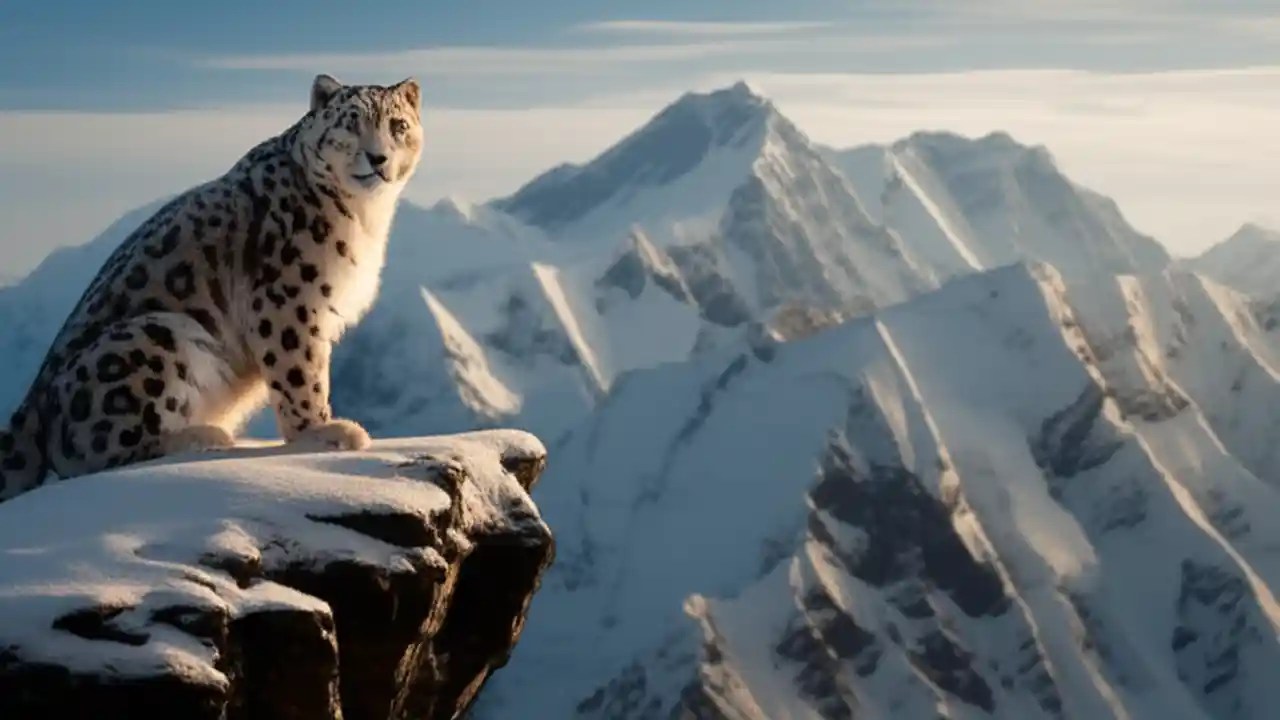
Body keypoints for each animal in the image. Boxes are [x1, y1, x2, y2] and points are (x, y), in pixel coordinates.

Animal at [0, 73, 424, 502]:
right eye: (351, 123)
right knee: (95, 452)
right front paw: (320, 432)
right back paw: (203, 436)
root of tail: (30, 403)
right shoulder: (287, 299)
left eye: (398, 126)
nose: (378, 158)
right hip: (159, 332)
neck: (365, 216)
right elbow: (299, 371)